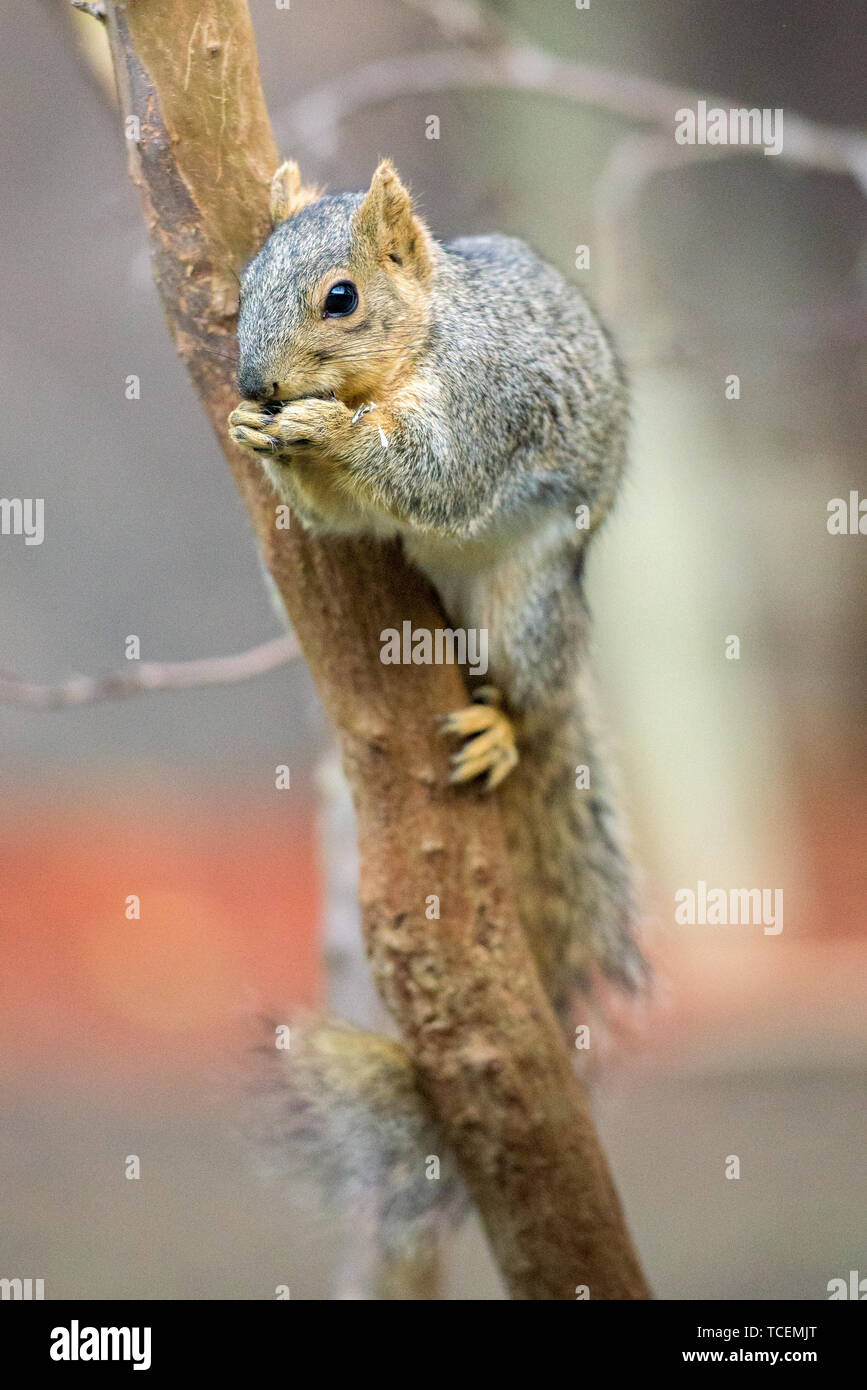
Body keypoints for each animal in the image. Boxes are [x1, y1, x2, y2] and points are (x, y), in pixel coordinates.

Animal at [230, 158, 645, 1250]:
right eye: (239, 288)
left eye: (341, 298)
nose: (254, 386)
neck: (418, 342)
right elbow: (338, 515)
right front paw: (263, 439)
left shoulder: (487, 400)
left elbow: (433, 474)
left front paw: (325, 429)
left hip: (528, 605)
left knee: (533, 694)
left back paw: (503, 723)